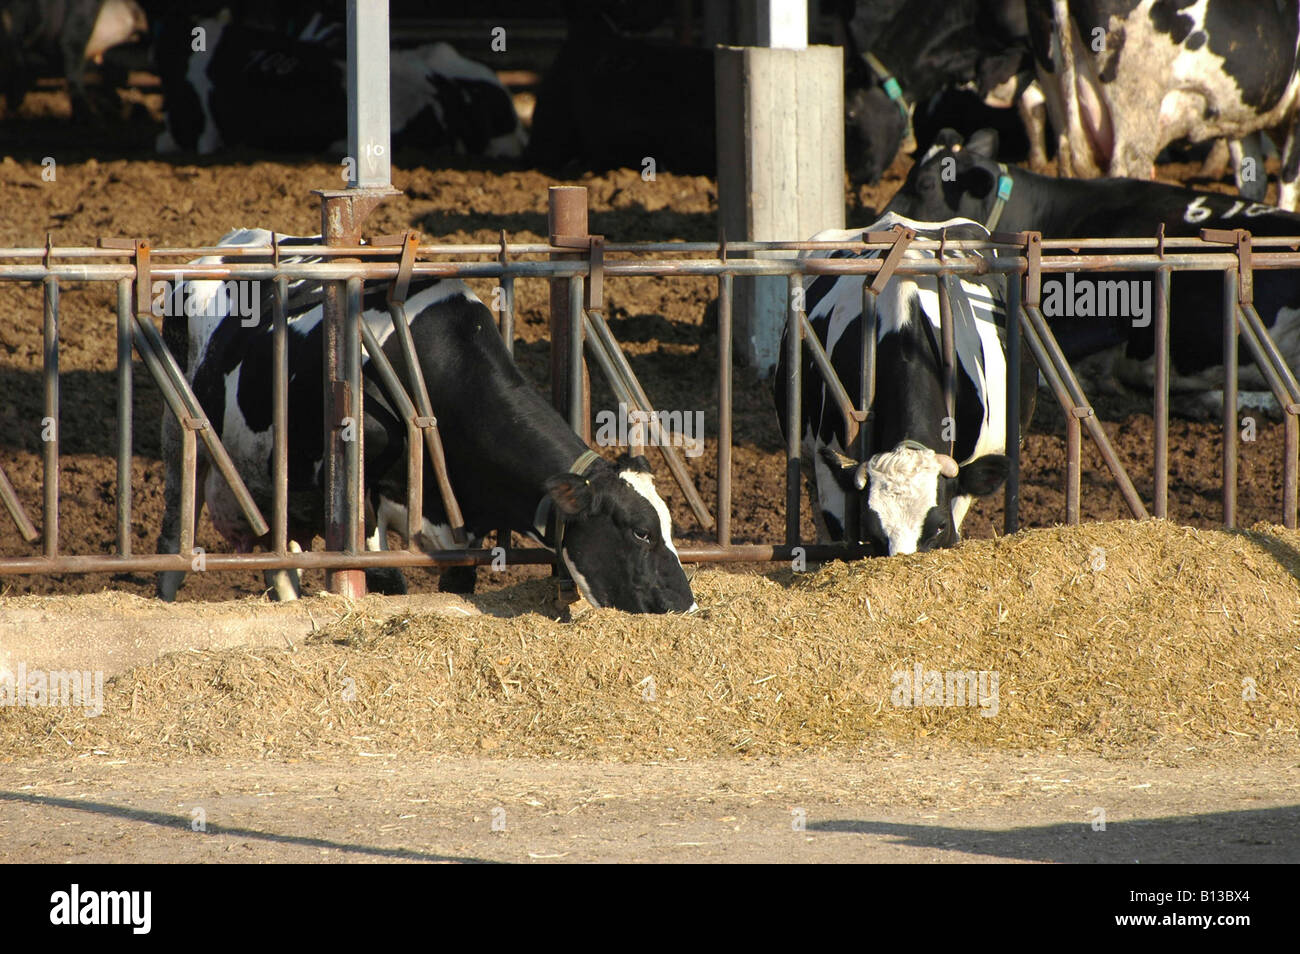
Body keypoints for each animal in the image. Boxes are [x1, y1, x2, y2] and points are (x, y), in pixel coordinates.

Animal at [155, 229, 695, 614]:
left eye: (669, 526)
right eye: (641, 532)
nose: (685, 605)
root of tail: (225, 246)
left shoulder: (465, 530)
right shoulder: (359, 508)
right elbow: (388, 583)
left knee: (281, 565)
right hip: (182, 439)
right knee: (173, 540)